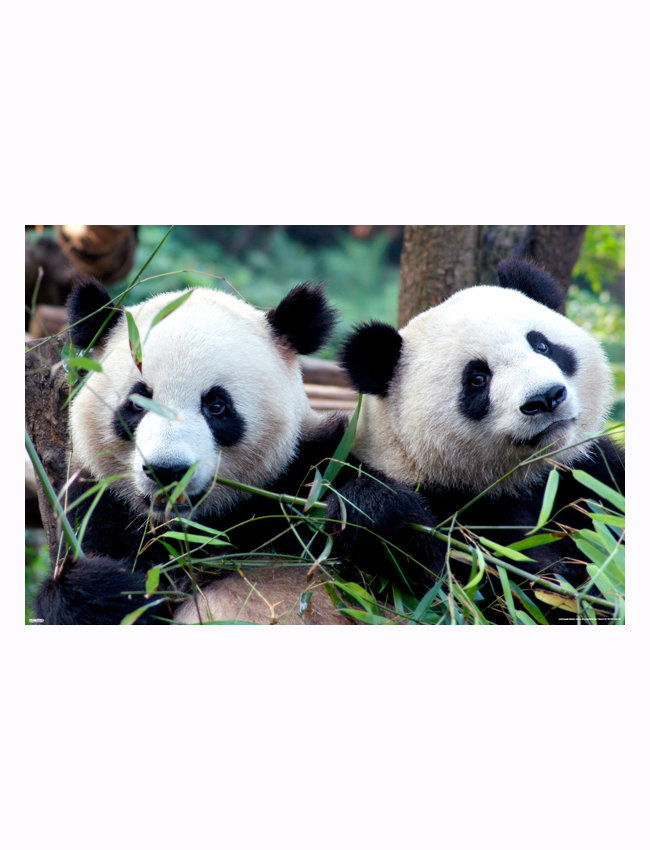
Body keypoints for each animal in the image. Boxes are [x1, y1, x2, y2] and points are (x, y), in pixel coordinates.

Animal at [36, 278, 349, 624]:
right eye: (137, 403)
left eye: (217, 405)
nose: (168, 471)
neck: (196, 529)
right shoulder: (102, 510)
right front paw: (105, 591)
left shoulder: (307, 469)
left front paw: (348, 510)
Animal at [327, 257, 624, 616]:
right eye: (478, 378)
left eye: (542, 345)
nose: (545, 398)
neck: (520, 480)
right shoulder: (457, 509)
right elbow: (488, 589)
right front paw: (377, 509)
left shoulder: (587, 473)